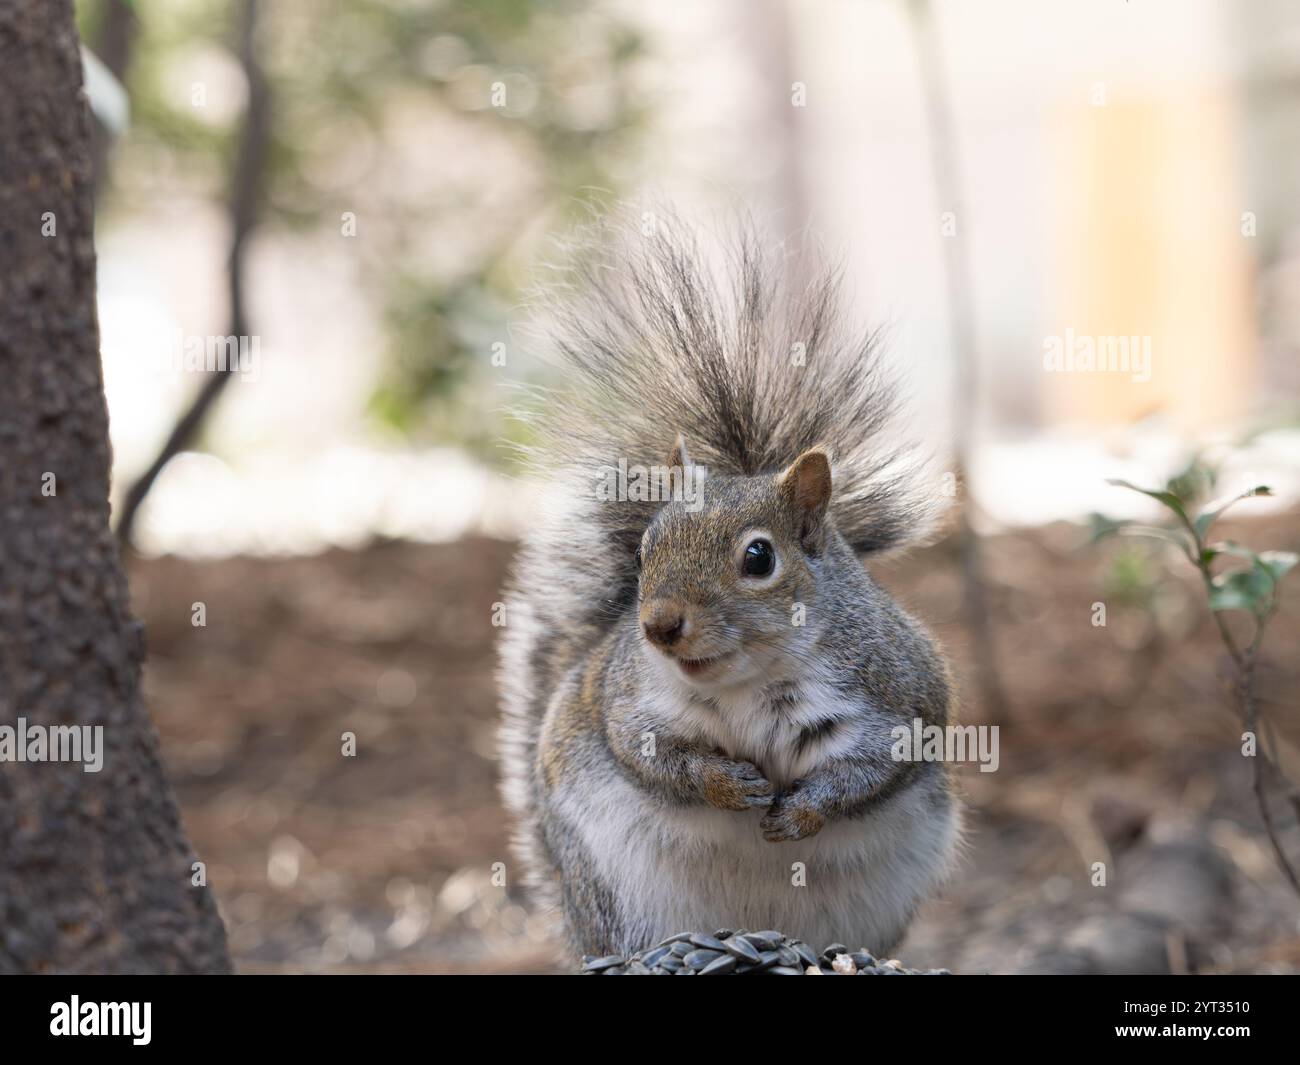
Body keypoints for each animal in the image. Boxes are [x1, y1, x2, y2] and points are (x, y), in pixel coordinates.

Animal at [497, 215, 962, 960]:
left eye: (758, 557)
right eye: (644, 550)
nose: (658, 625)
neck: (749, 680)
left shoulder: (901, 693)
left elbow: (867, 774)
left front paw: (804, 812)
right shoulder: (630, 701)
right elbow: (653, 757)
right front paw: (723, 781)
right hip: (614, 893)